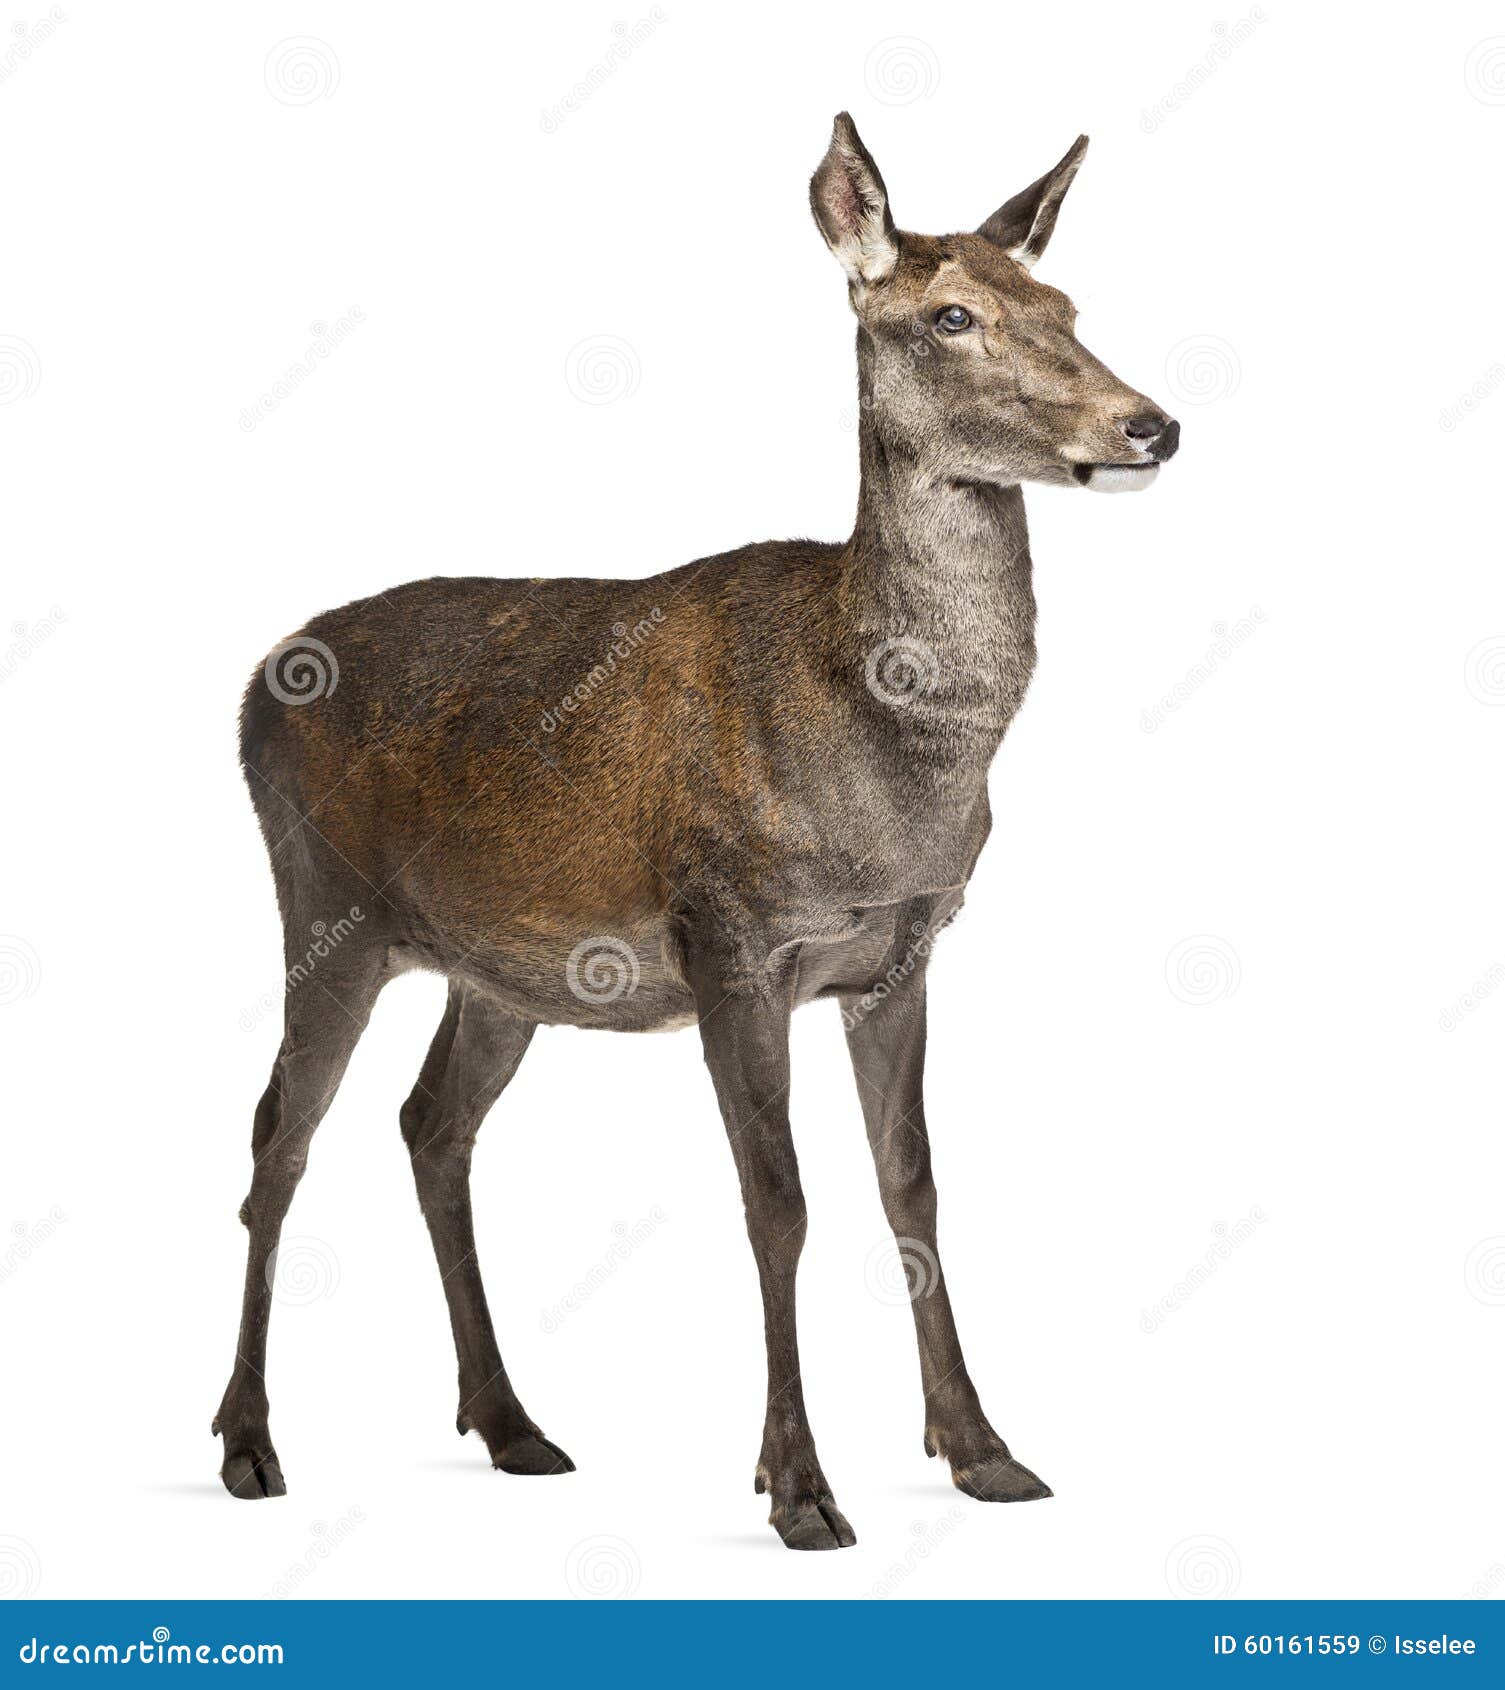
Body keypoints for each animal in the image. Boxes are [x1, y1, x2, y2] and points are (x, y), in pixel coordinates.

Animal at [215, 113, 1180, 1551]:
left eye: (1064, 305)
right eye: (950, 314)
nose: (1148, 423)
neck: (890, 766)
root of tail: (247, 686)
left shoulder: (901, 951)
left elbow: (914, 1183)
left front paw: (983, 1449)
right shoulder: (732, 935)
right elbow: (777, 1201)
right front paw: (800, 1488)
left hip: (496, 968)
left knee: (430, 1121)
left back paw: (512, 1422)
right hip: (318, 899)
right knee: (278, 1132)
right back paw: (248, 1441)